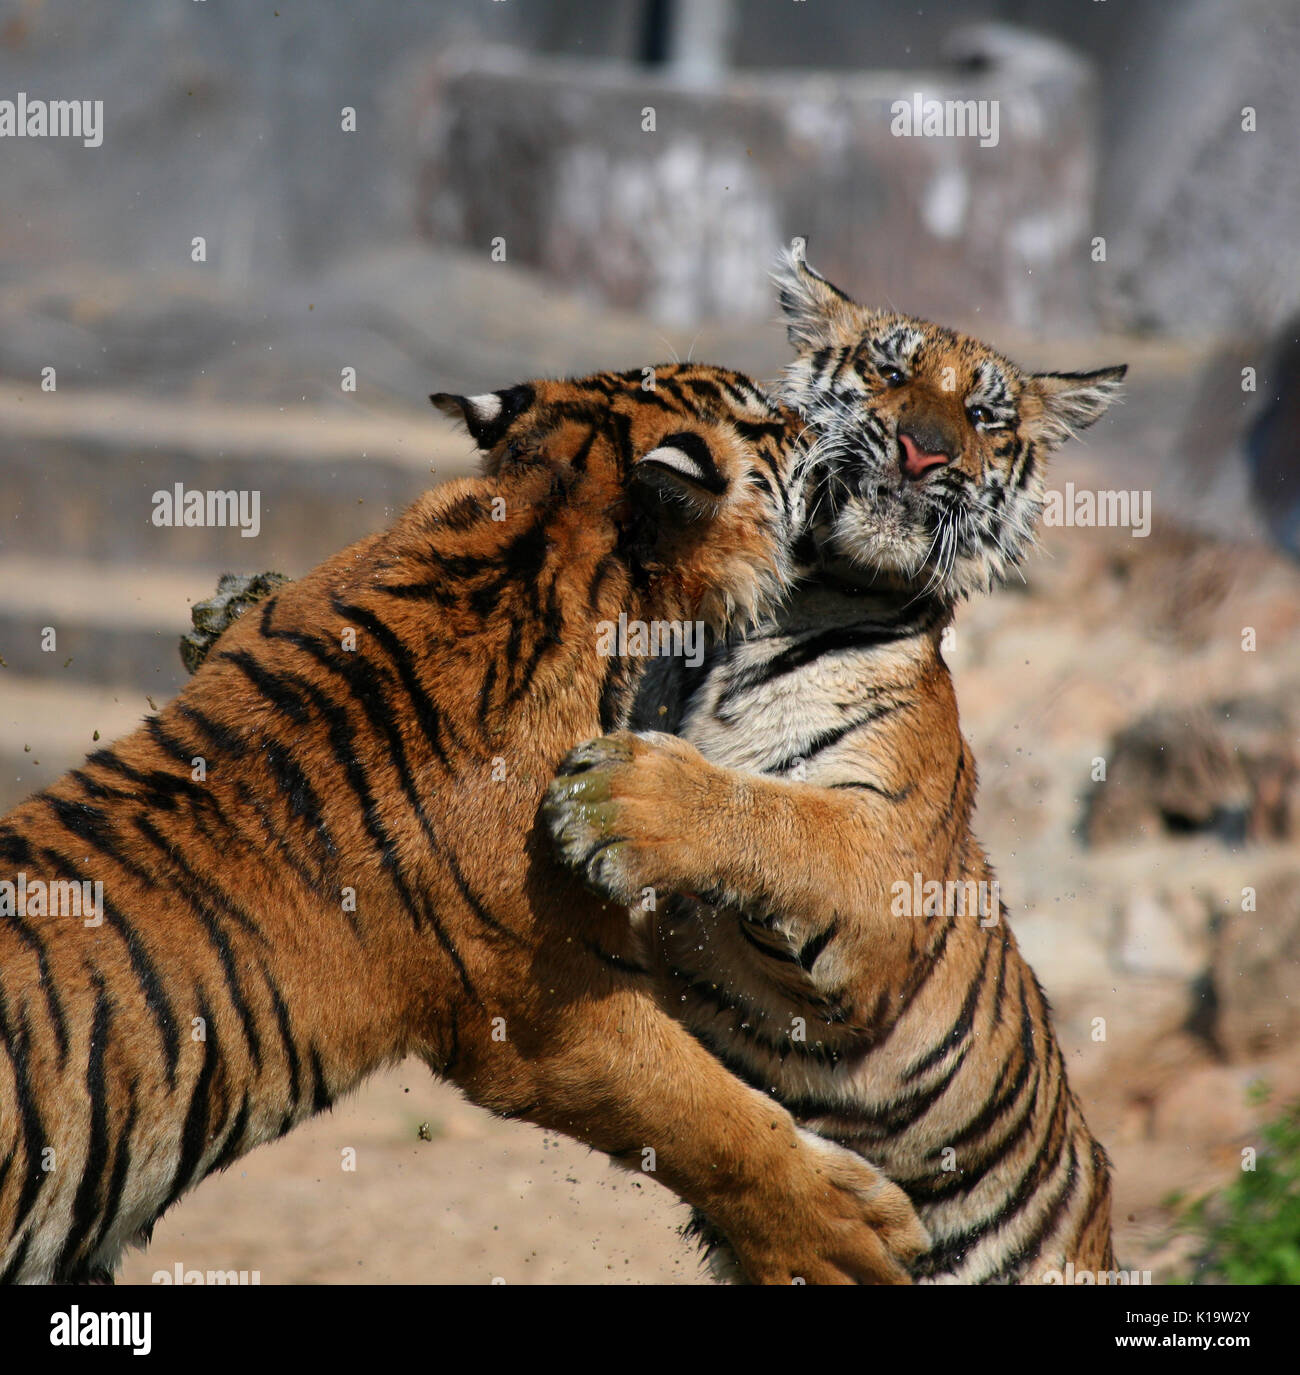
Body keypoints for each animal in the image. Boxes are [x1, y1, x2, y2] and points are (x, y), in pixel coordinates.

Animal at [0, 362, 930, 1285]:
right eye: (771, 415)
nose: (840, 416)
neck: (546, 514)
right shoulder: (546, 1007)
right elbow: (705, 1115)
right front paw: (853, 1240)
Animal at [544, 246, 1128, 1284]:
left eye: (986, 417)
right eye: (889, 370)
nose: (925, 452)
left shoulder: (887, 864)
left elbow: (781, 820)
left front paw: (623, 800)